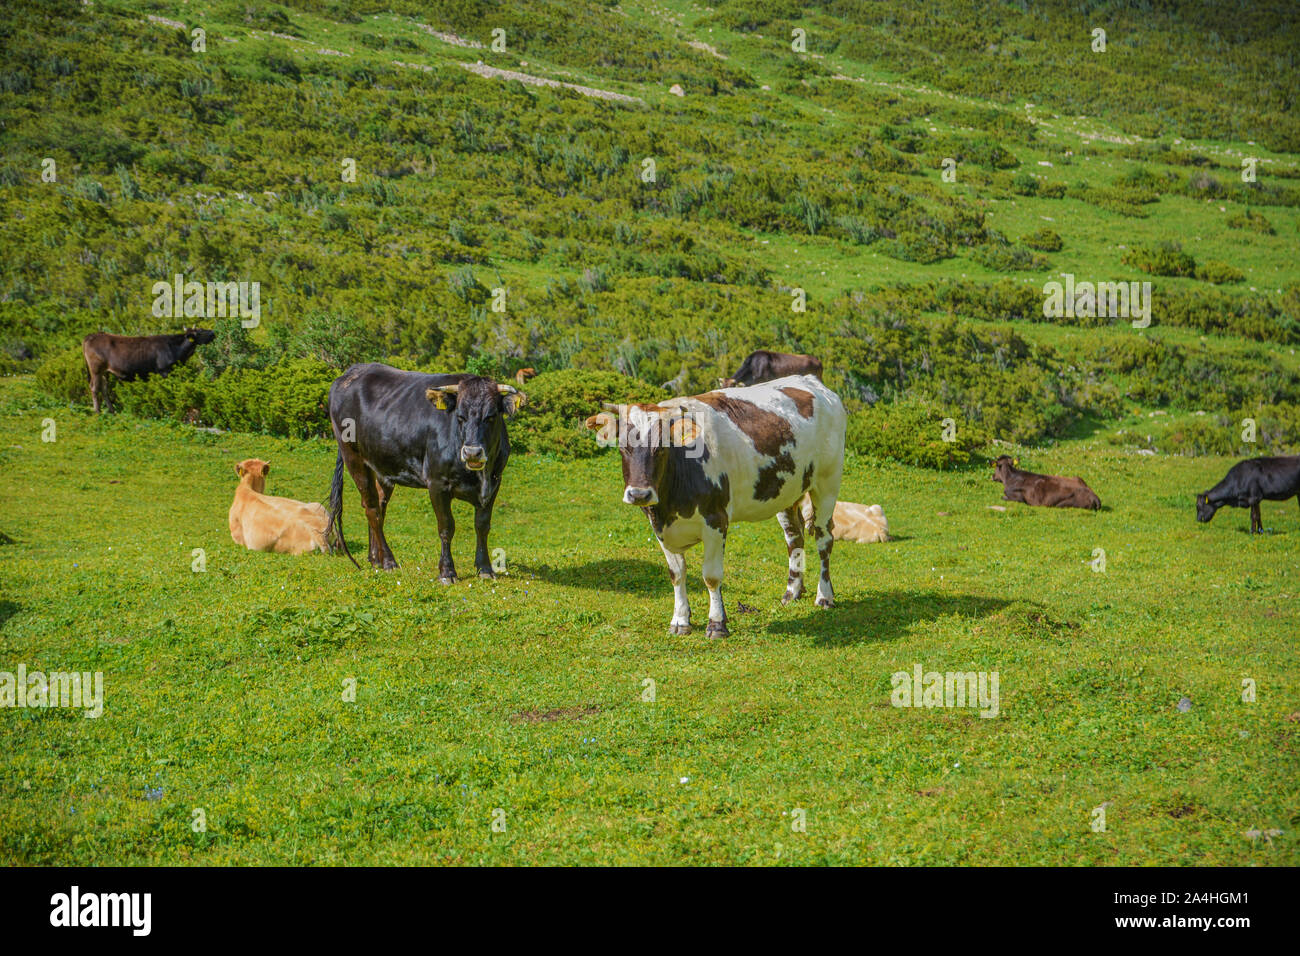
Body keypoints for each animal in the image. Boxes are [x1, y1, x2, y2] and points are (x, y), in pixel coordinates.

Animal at [82, 329, 215, 413]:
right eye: (200, 331)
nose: (213, 332)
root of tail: (89, 336)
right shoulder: (164, 371)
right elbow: (166, 392)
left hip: (105, 372)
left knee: (104, 388)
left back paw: (112, 410)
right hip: (96, 369)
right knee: (94, 388)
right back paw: (97, 411)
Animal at [326, 364, 525, 580]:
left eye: (491, 416)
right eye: (460, 416)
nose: (472, 452)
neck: (480, 476)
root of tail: (351, 372)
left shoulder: (494, 483)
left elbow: (482, 525)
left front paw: (485, 568)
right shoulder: (437, 483)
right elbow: (446, 526)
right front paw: (447, 571)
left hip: (381, 466)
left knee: (378, 505)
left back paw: (375, 559)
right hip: (353, 457)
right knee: (373, 510)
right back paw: (388, 561)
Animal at [586, 374, 845, 638]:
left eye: (661, 448)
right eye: (622, 448)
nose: (639, 494)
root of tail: (809, 380)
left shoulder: (716, 520)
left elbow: (711, 576)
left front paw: (717, 623)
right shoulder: (659, 527)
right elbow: (676, 574)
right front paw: (680, 620)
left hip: (827, 482)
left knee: (823, 538)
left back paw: (824, 596)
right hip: (787, 491)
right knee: (794, 538)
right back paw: (792, 592)